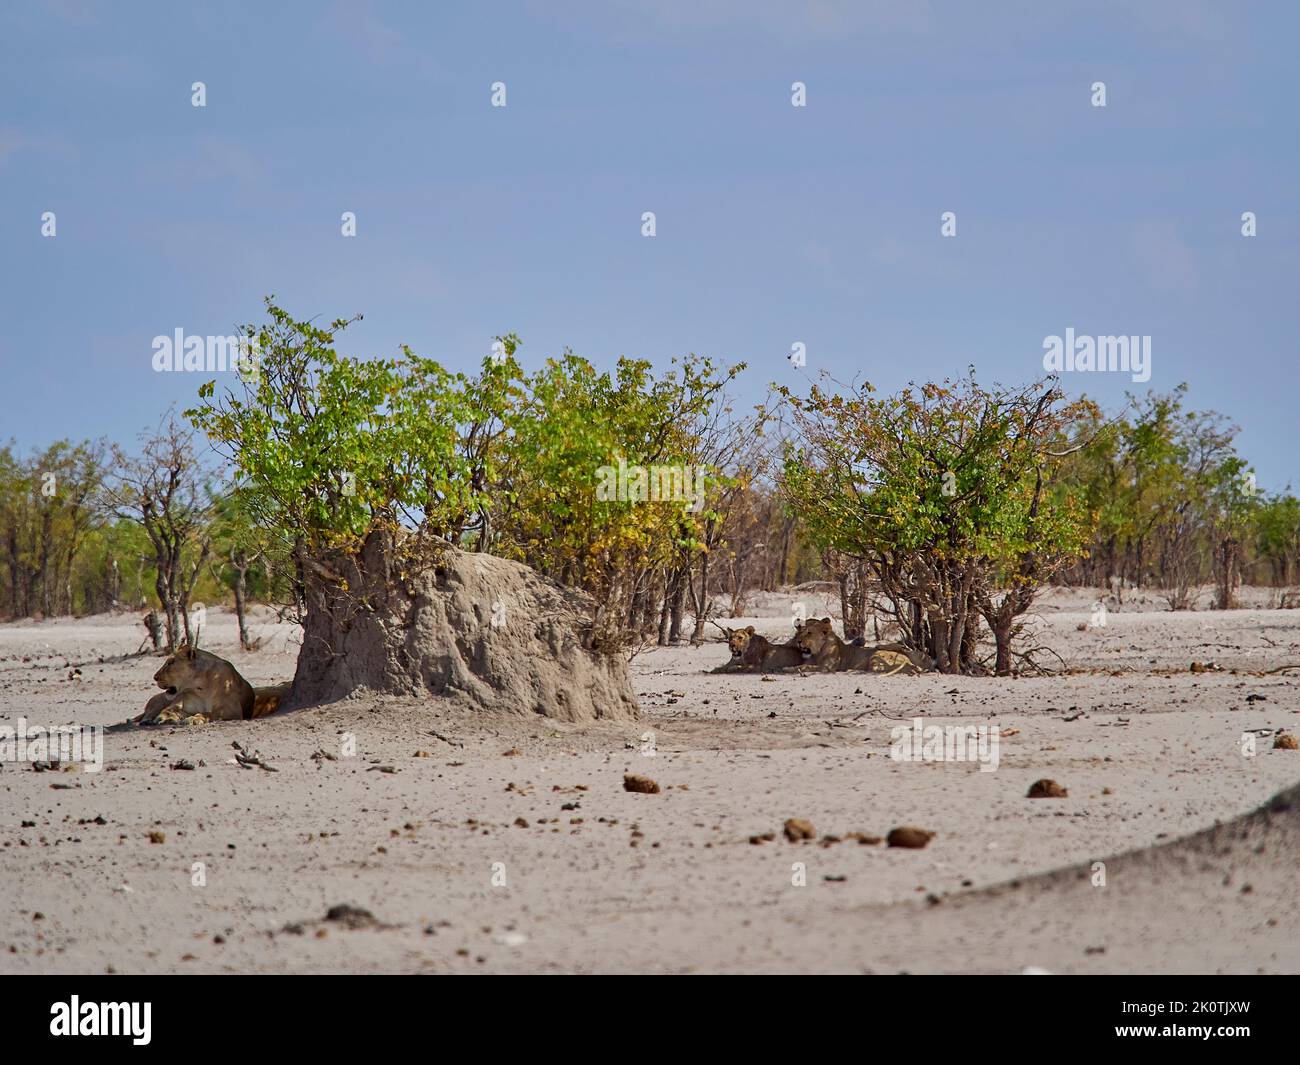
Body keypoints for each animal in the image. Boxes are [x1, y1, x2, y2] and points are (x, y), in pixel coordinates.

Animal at [135, 644, 289, 725]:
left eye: (170, 663)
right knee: (148, 713)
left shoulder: (231, 710)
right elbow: (172, 710)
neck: (200, 687)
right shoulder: (182, 704)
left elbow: (209, 713)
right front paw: (166, 717)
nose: (155, 677)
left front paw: (195, 719)